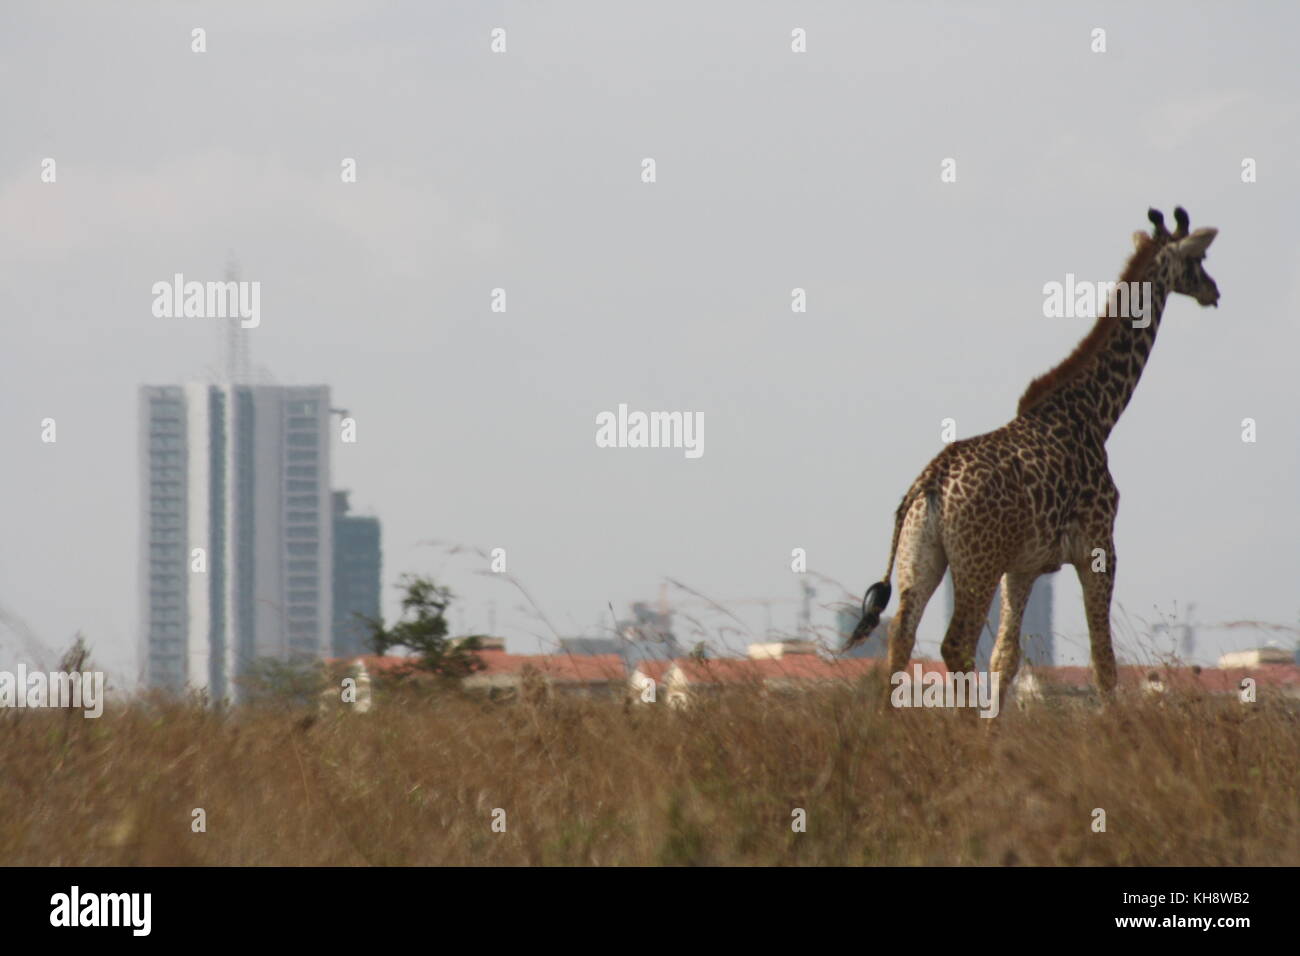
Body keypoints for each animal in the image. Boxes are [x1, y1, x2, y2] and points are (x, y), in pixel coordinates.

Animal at [845, 207, 1220, 710]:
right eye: (1198, 260)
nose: (1213, 291)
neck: (1097, 414)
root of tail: (929, 483)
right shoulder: (1099, 544)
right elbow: (1104, 660)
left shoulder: (1023, 566)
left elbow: (1006, 659)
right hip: (976, 562)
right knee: (955, 642)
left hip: (921, 556)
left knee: (900, 639)